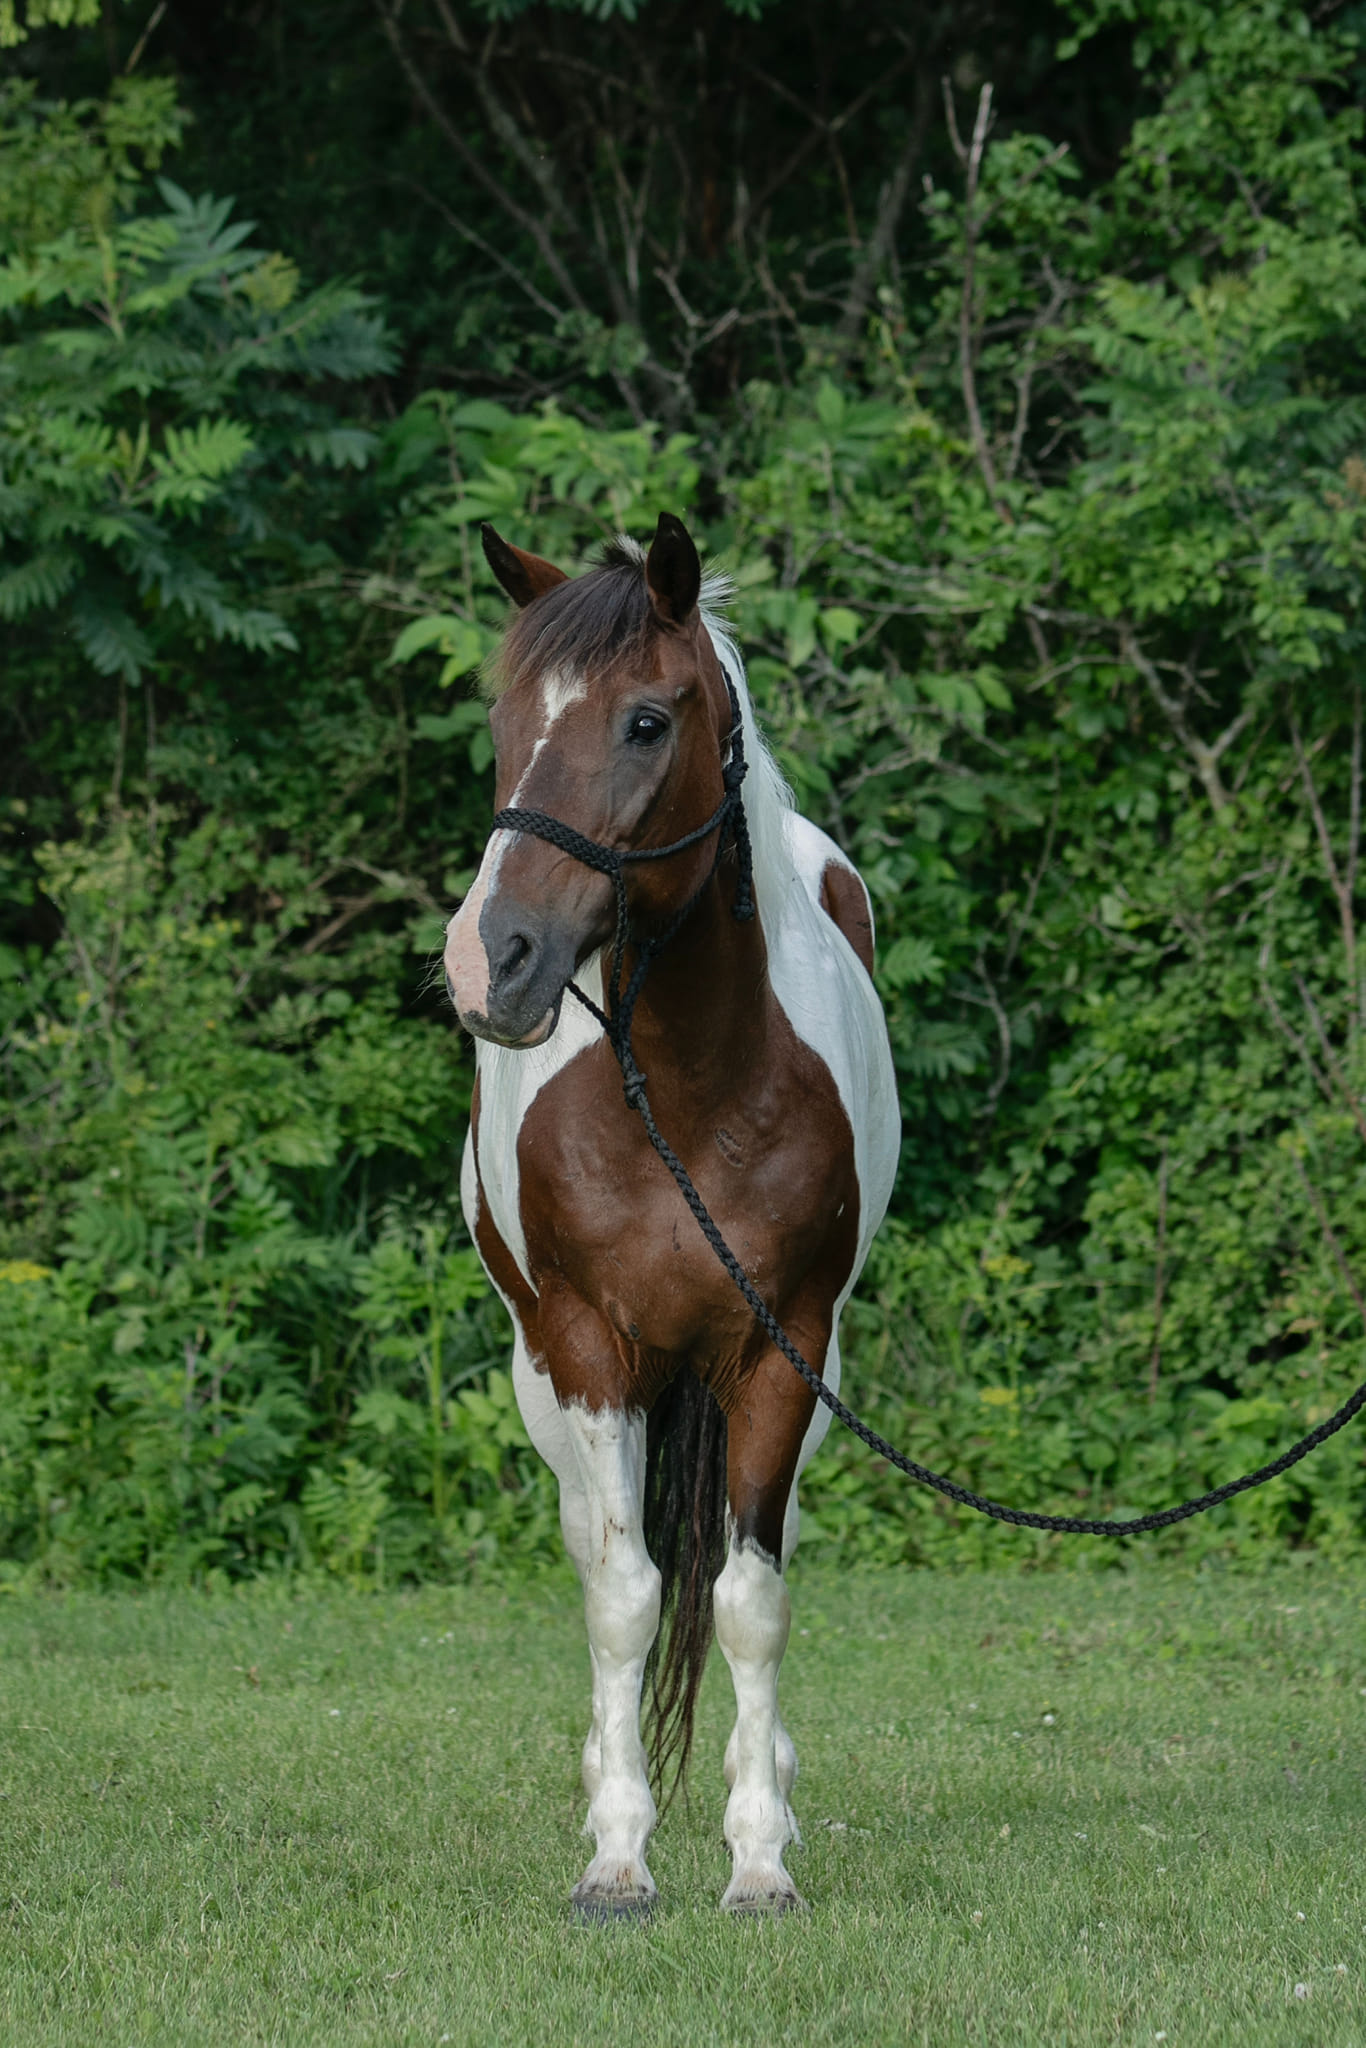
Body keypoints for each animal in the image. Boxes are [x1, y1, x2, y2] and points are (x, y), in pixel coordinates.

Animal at [444, 512, 899, 1918]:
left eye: (645, 721)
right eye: (503, 718)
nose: (490, 959)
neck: (695, 1090)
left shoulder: (784, 1349)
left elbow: (751, 1595)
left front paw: (757, 1856)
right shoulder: (589, 1350)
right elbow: (624, 1596)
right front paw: (617, 1853)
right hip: (547, 1374)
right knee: (604, 1555)